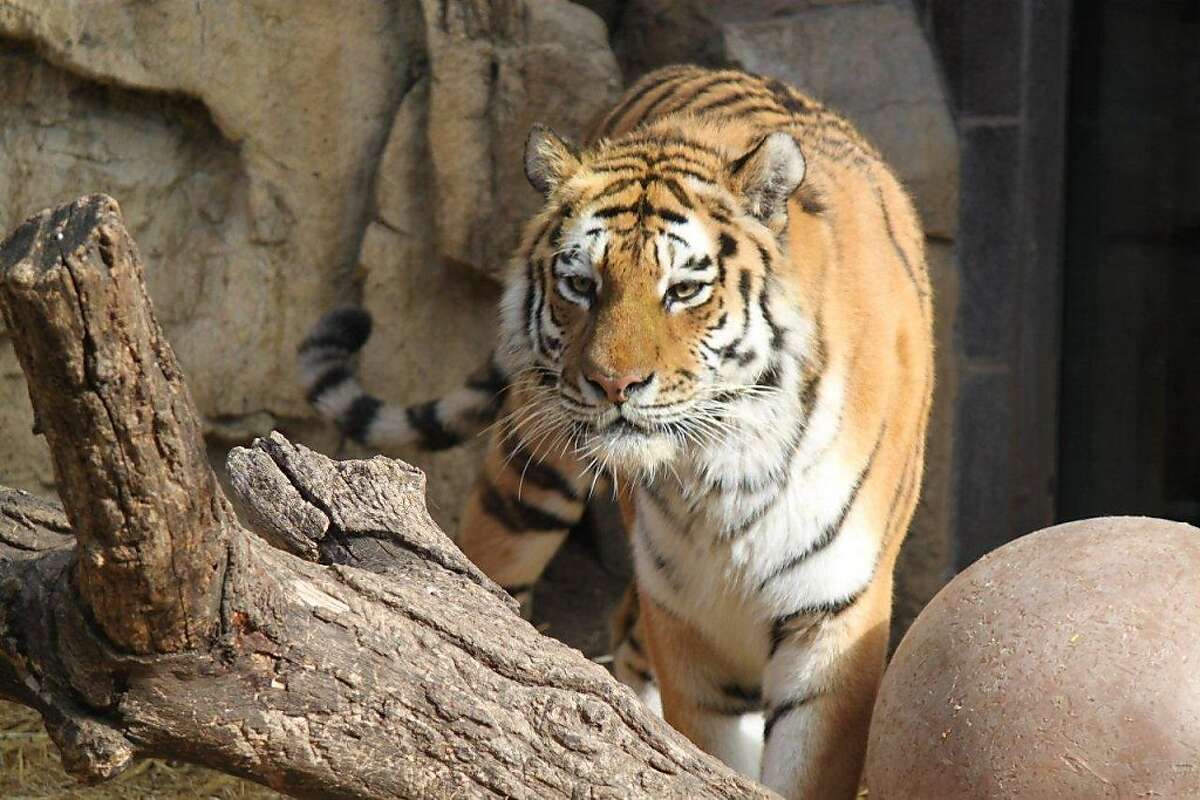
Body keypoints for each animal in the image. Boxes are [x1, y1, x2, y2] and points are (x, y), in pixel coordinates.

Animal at [297, 64, 933, 799]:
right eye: (580, 284)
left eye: (684, 290)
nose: (612, 385)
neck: (726, 465)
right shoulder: (688, 616)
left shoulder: (833, 620)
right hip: (530, 470)